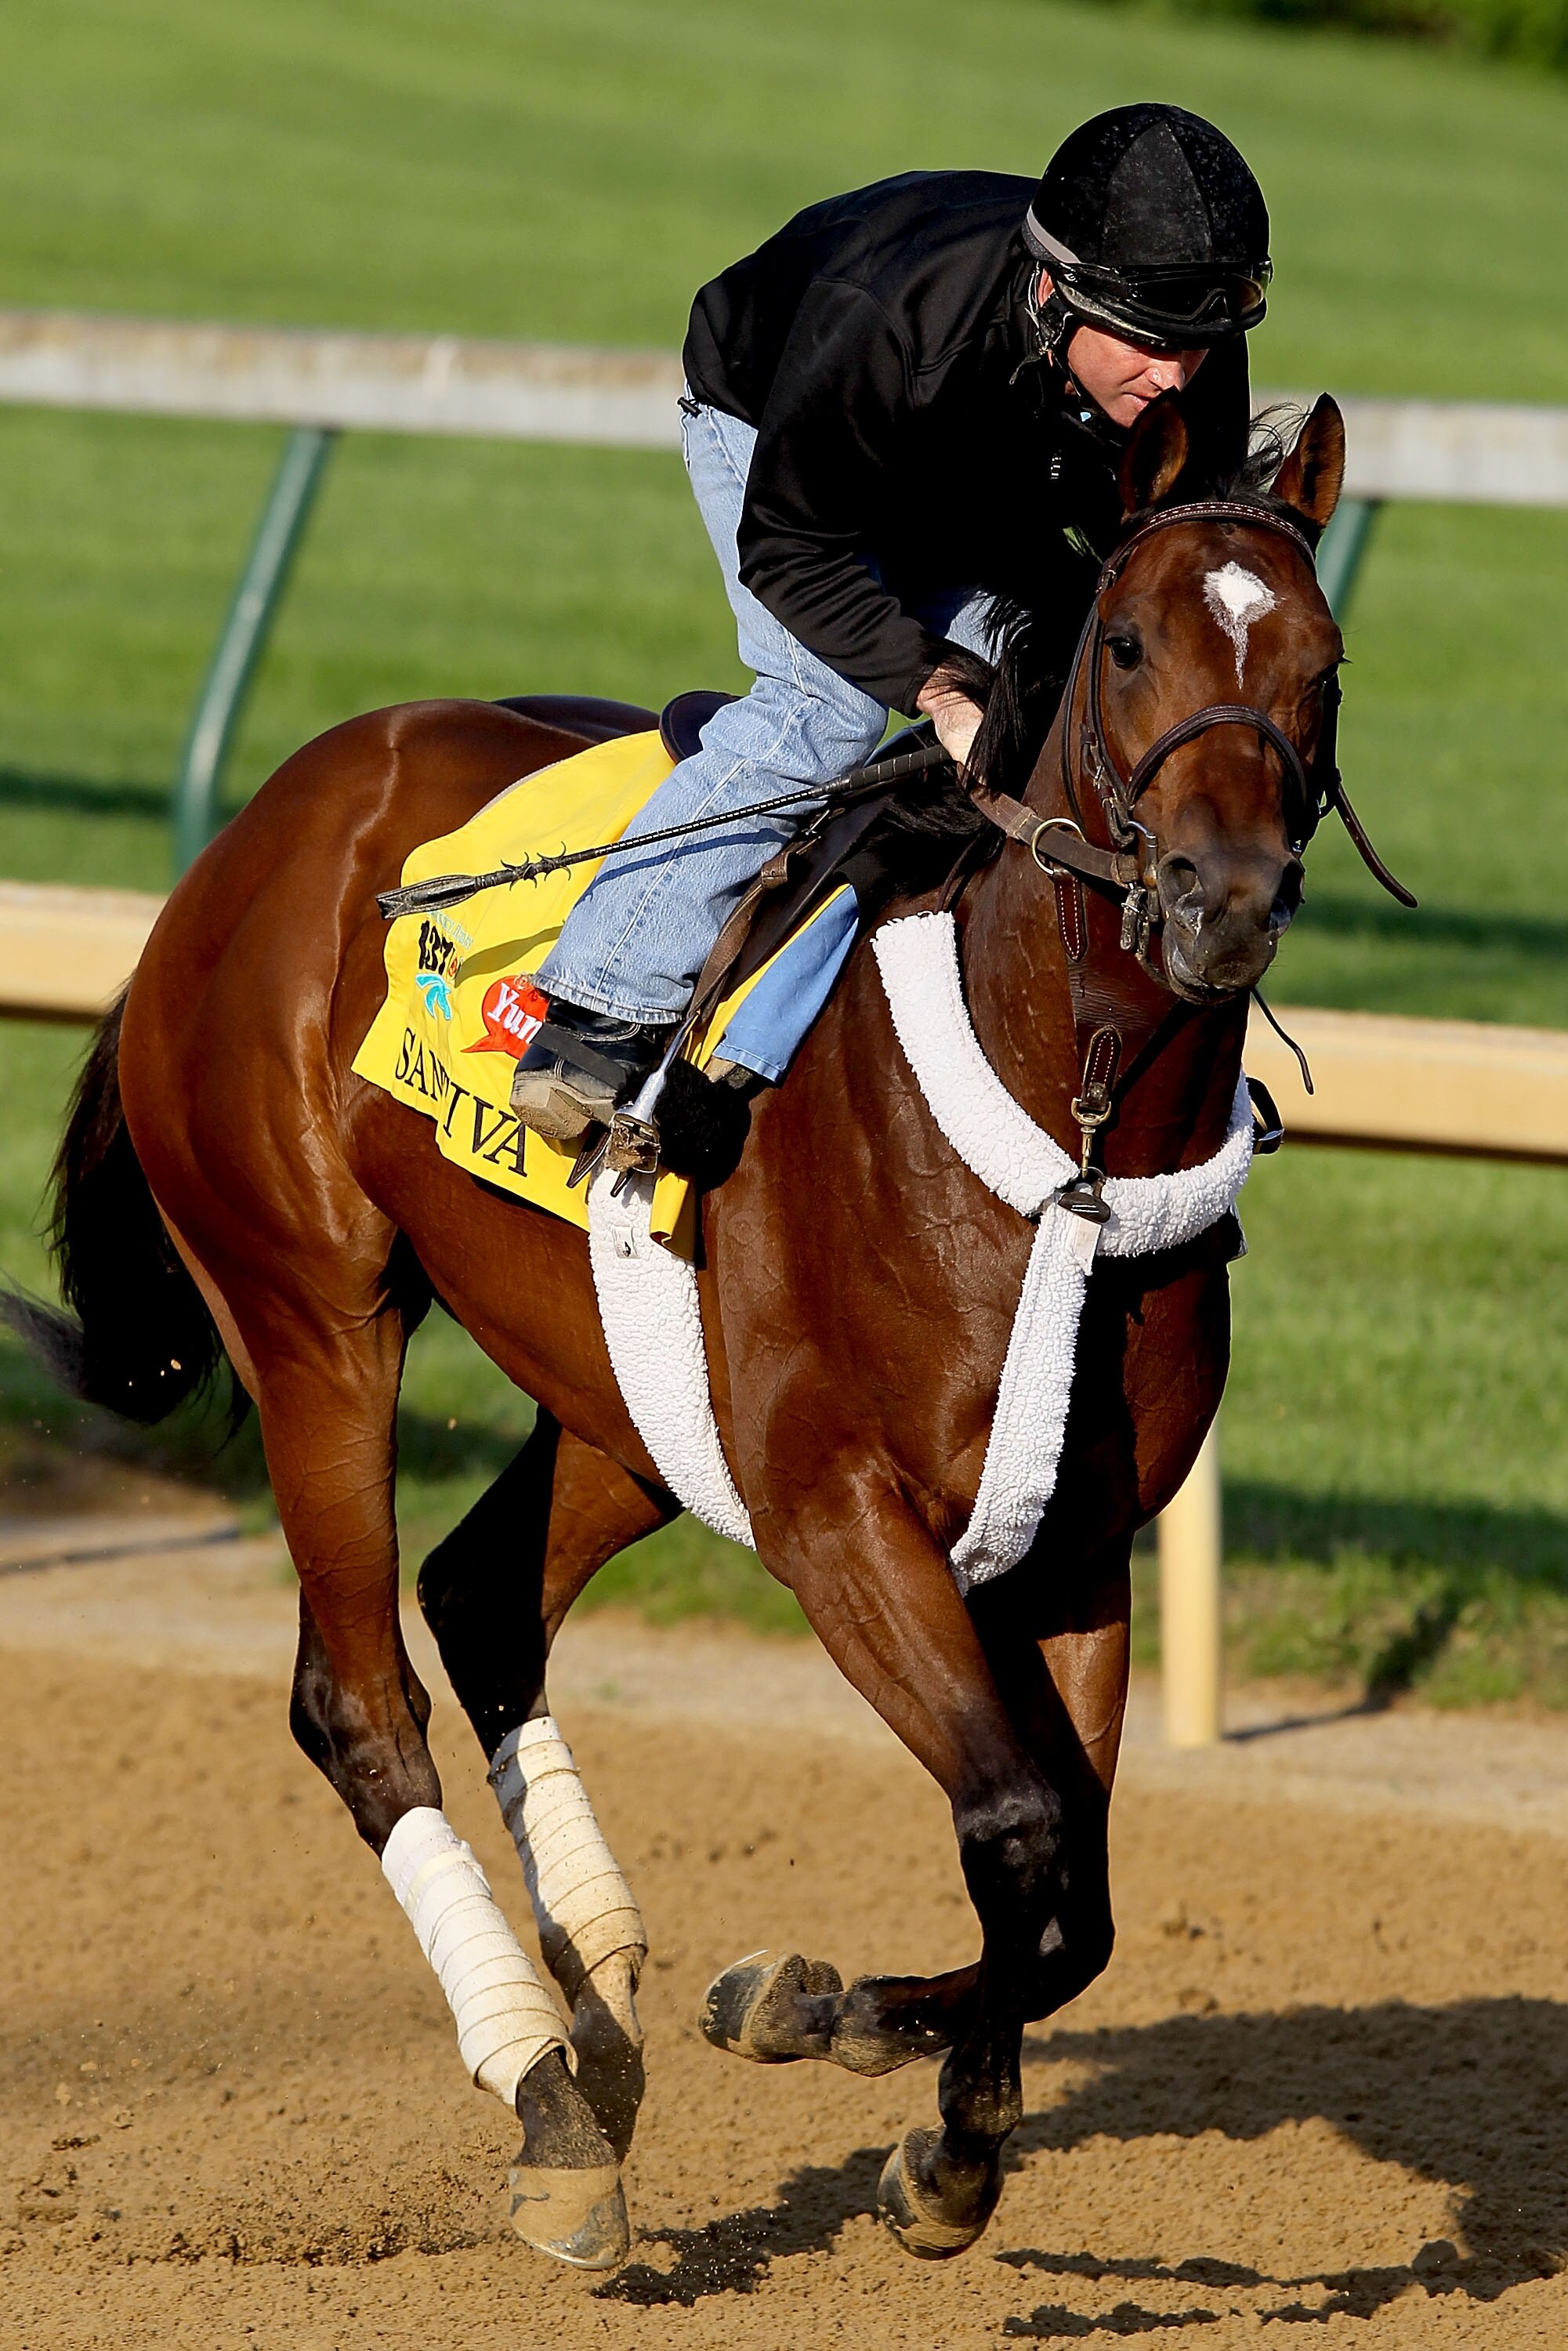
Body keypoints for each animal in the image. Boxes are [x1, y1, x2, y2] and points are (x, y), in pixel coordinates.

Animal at [11, 390, 1353, 2271]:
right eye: (1134, 641)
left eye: (1320, 660)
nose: (1219, 900)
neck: (1067, 1136)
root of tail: (257, 828)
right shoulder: (835, 1515)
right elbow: (1020, 1830)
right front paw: (876, 2081)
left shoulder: (1079, 1544)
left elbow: (1072, 1890)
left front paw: (878, 2077)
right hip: (310, 1315)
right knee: (357, 1697)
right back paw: (544, 2090)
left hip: (628, 1397)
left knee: (481, 1595)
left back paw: (601, 2008)